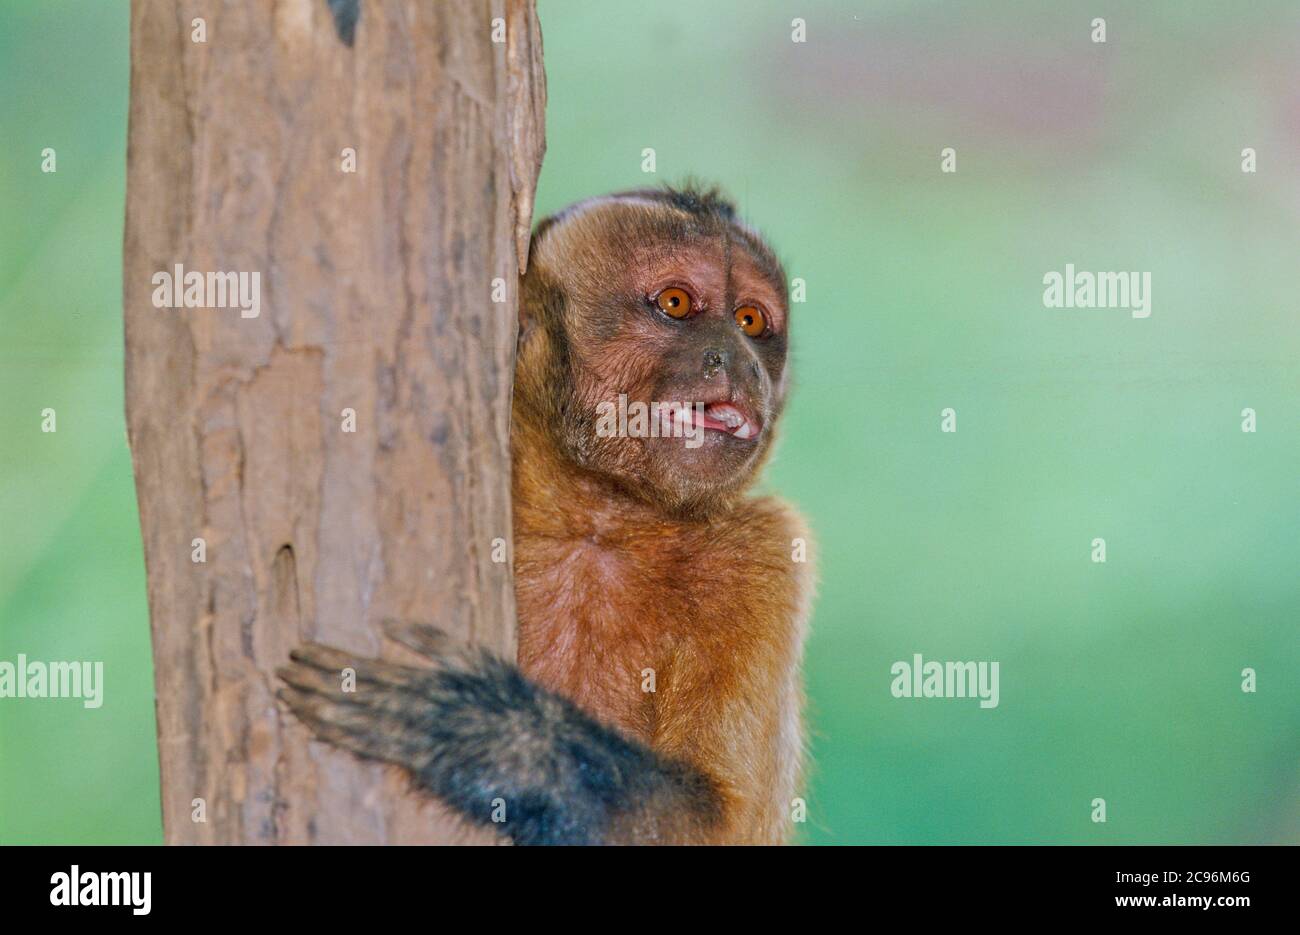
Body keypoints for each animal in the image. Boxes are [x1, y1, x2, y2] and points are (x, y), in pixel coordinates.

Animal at [277, 184, 814, 845]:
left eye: (750, 322)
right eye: (677, 304)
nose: (737, 360)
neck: (600, 516)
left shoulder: (766, 553)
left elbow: (712, 821)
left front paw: (496, 737)